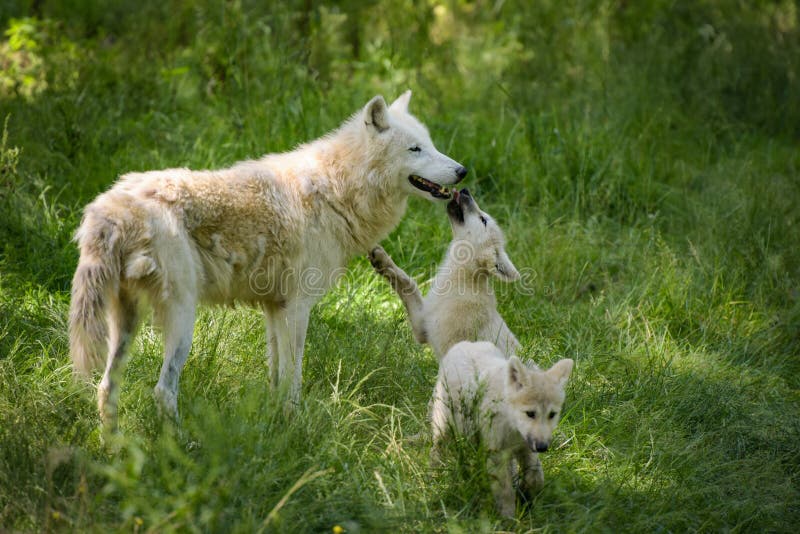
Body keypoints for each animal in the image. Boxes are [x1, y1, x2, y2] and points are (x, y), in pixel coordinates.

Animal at [69, 91, 466, 427]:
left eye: (431, 145)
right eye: (415, 149)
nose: (462, 171)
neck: (337, 189)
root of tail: (112, 207)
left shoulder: (275, 308)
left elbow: (276, 376)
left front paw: (275, 421)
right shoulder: (297, 308)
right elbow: (293, 378)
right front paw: (295, 426)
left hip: (126, 323)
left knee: (106, 388)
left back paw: (113, 451)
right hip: (182, 319)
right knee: (163, 391)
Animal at [369, 188, 520, 359]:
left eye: (483, 220)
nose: (465, 190)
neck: (460, 283)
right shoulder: (422, 325)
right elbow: (408, 283)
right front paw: (381, 259)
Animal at [430, 341, 573, 517]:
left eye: (552, 415)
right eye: (530, 414)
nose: (542, 447)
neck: (511, 424)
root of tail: (464, 343)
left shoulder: (525, 446)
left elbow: (535, 477)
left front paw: (526, 495)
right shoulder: (497, 453)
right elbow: (505, 491)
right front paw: (509, 517)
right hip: (445, 428)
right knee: (436, 450)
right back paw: (434, 476)